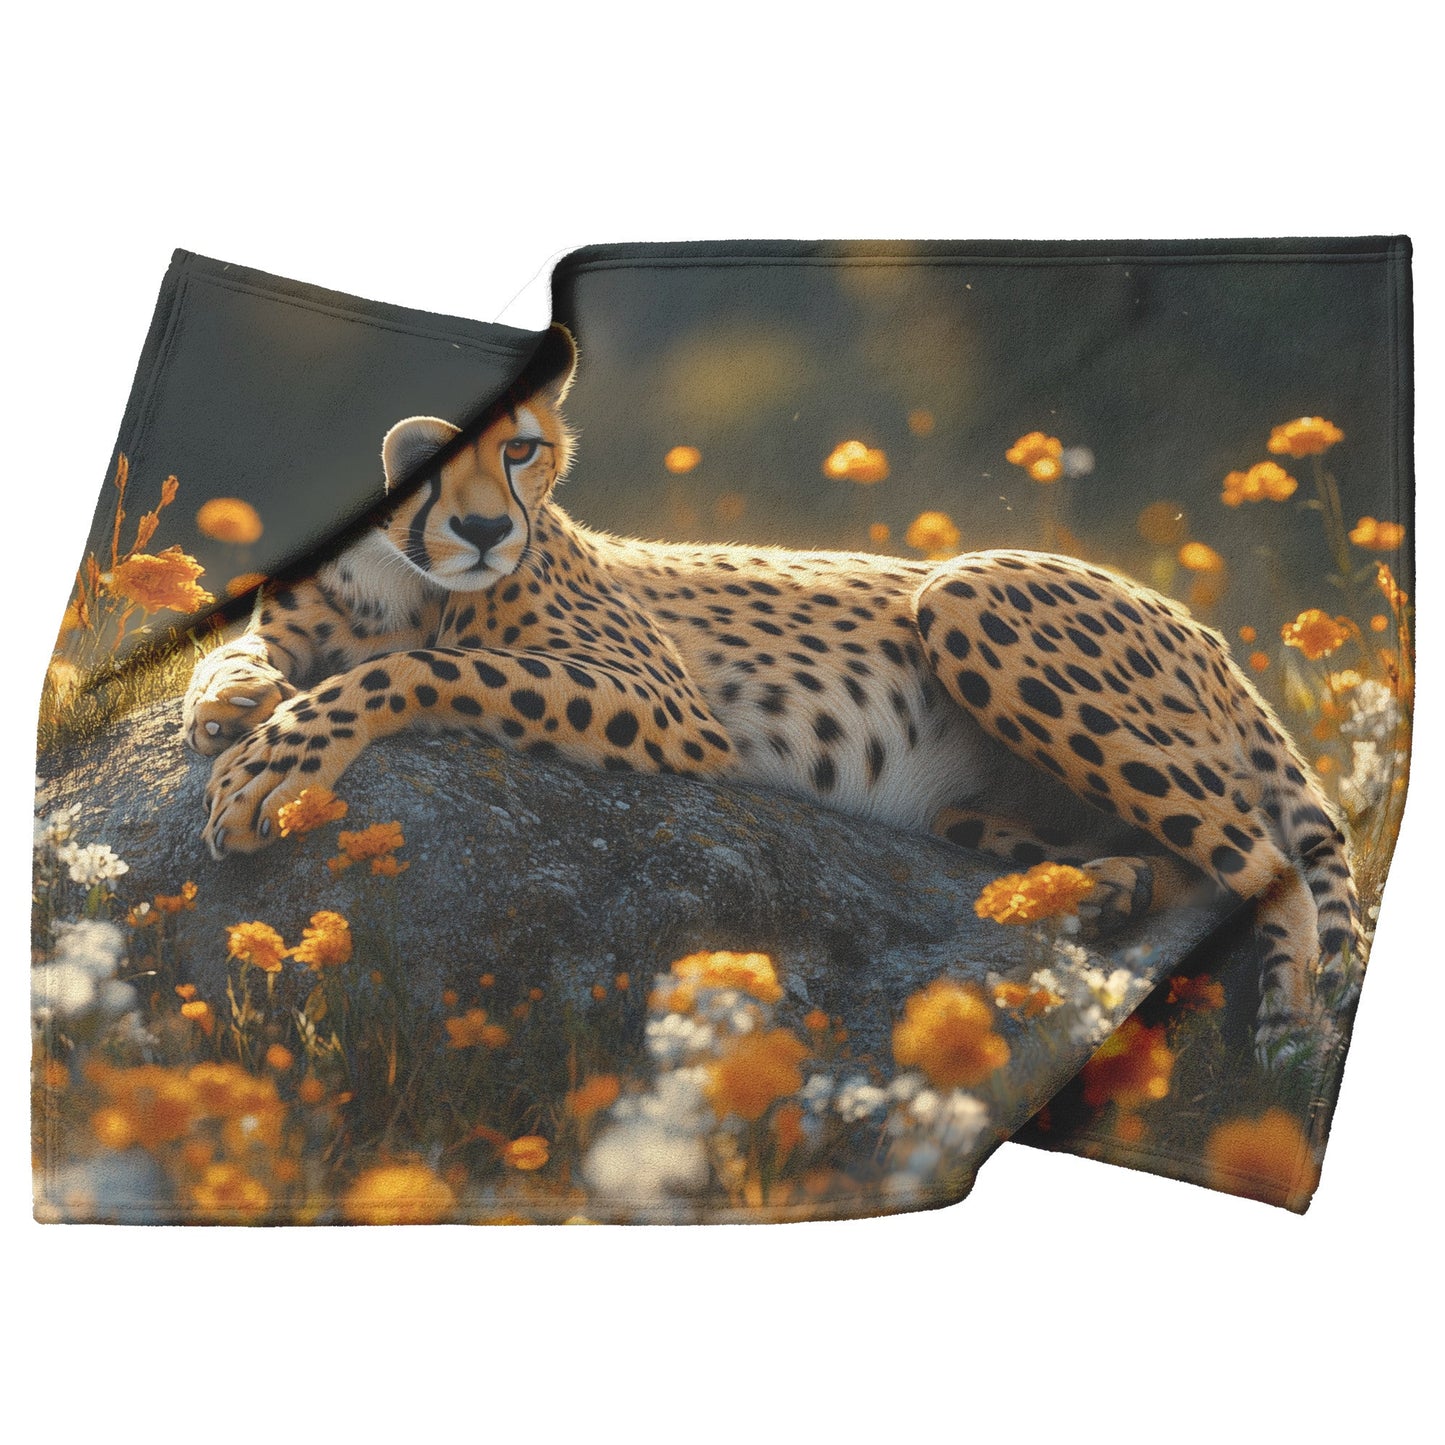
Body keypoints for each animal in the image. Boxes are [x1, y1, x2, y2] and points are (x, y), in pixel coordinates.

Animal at [184, 324, 1362, 1057]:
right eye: (437, 473)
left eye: (521, 451)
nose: (481, 529)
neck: (391, 575)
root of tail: (1207, 629)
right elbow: (228, 653)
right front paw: (227, 701)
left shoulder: (665, 705)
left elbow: (423, 666)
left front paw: (271, 766)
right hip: (977, 793)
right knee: (1173, 863)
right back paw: (1102, 887)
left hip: (968, 593)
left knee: (1261, 864)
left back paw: (1286, 1018)